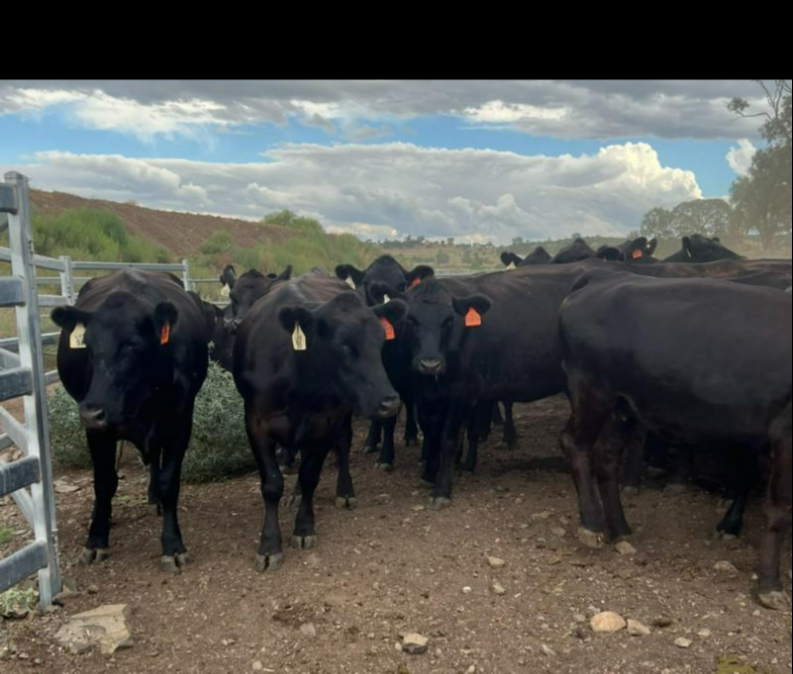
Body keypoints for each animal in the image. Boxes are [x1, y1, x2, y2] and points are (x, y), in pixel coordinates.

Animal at [51, 270, 209, 573]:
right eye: (87, 346)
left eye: (132, 345)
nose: (91, 411)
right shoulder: (98, 431)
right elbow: (103, 482)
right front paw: (96, 540)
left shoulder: (180, 420)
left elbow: (169, 482)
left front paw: (172, 546)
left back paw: (153, 497)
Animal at [232, 272, 407, 571]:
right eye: (343, 345)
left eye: (381, 341)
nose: (390, 401)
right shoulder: (255, 423)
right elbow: (272, 484)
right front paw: (269, 544)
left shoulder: (324, 422)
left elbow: (311, 475)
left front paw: (304, 528)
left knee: (344, 443)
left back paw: (344, 491)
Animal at [559, 271, 791, 610]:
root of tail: (600, 281)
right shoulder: (785, 434)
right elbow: (779, 508)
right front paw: (770, 585)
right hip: (592, 392)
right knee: (576, 444)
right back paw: (592, 525)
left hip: (623, 406)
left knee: (606, 457)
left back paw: (620, 529)